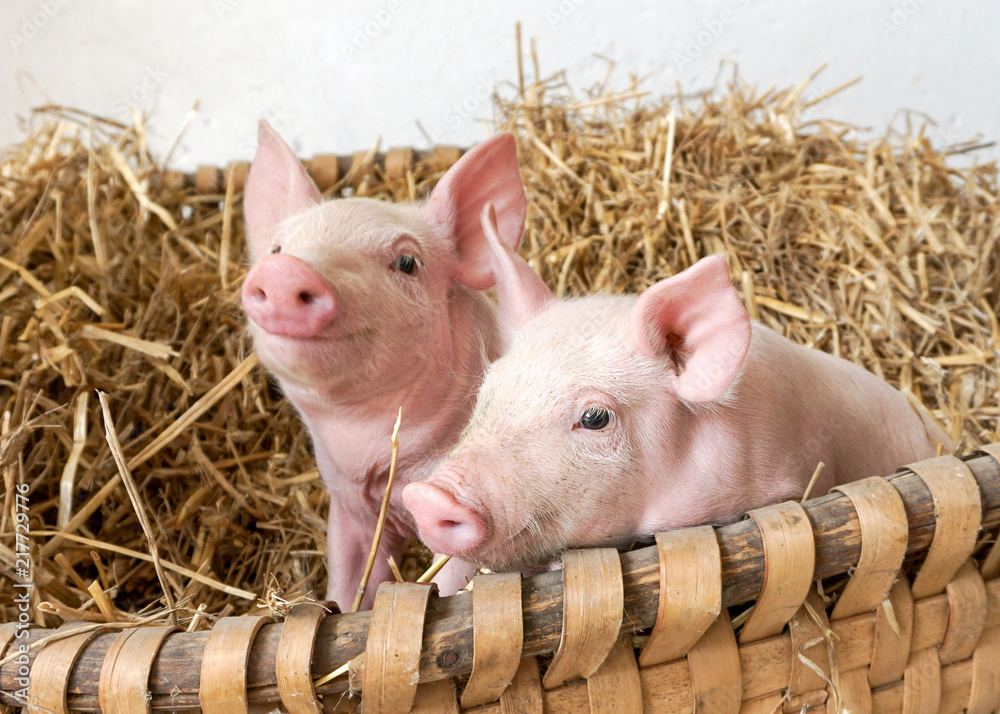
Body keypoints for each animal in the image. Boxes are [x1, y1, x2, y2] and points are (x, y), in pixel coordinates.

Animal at [240, 123, 526, 608]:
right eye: (277, 248)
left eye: (407, 262)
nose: (285, 270)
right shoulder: (347, 506)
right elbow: (348, 576)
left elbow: (453, 576)